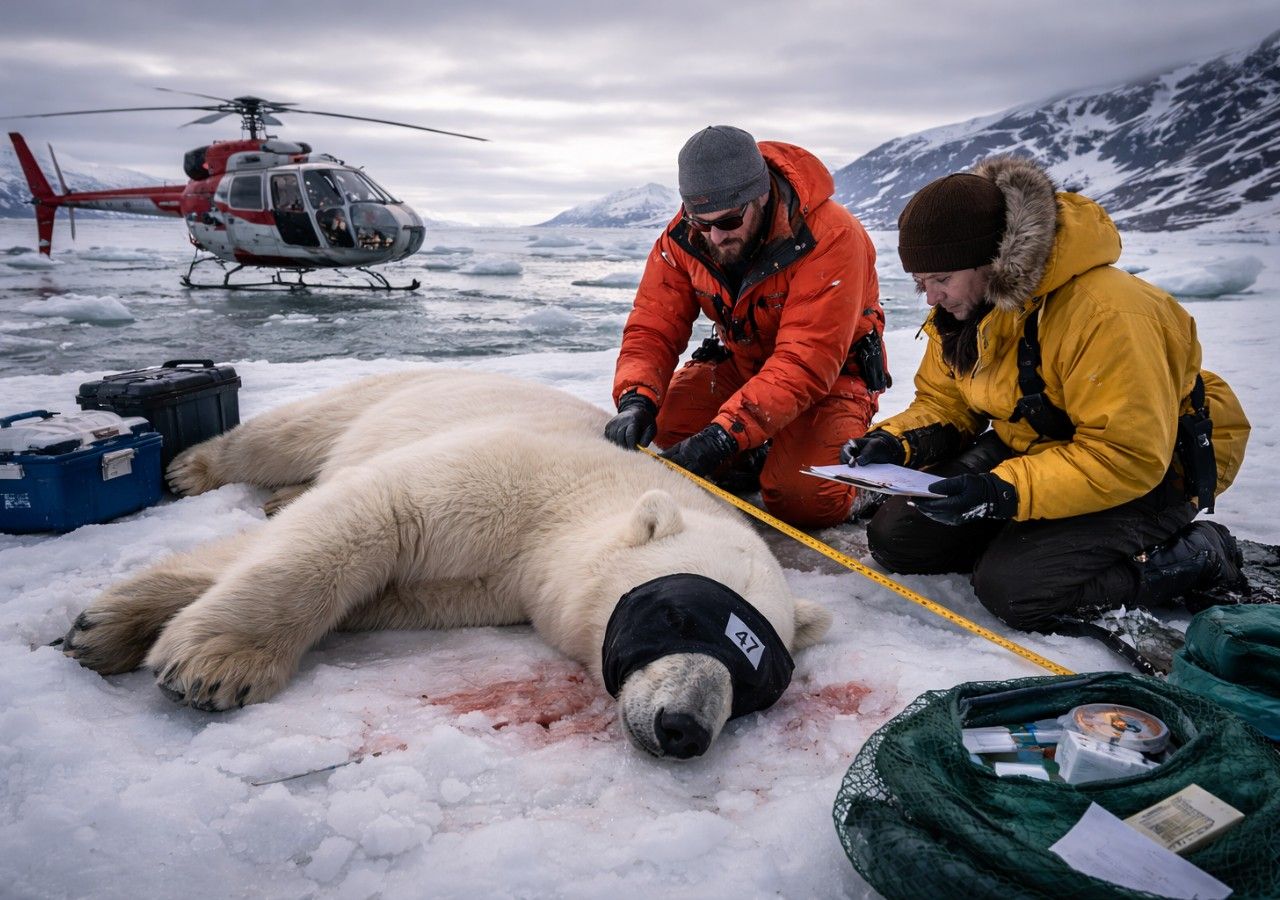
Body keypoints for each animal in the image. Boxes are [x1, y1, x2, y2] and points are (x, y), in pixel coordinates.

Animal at [61, 369, 832, 759]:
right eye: (677, 615)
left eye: (757, 677)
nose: (685, 728)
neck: (572, 507)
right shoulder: (512, 475)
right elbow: (375, 515)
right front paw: (212, 665)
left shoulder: (494, 584)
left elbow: (380, 588)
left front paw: (113, 626)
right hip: (389, 393)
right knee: (289, 434)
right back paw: (195, 468)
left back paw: (278, 499)